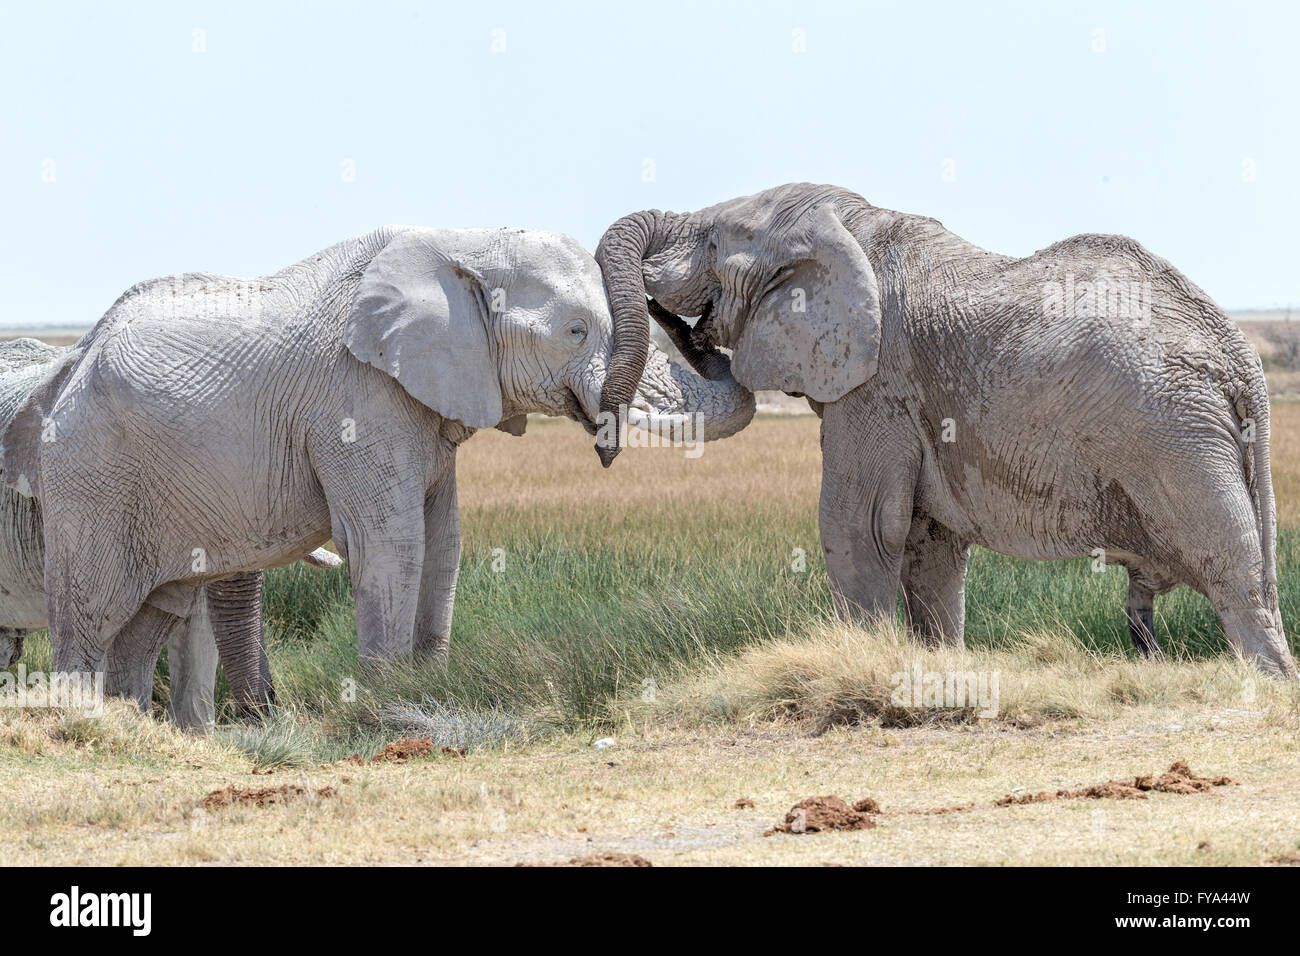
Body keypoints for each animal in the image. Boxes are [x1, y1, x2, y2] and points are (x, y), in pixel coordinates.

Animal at [594, 182, 1296, 678]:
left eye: (714, 244)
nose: (604, 449)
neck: (853, 222)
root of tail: (1241, 360)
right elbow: (929, 542)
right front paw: (935, 674)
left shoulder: (878, 384)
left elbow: (860, 527)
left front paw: (865, 666)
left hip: (1178, 440)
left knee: (1232, 577)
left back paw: (1265, 686)